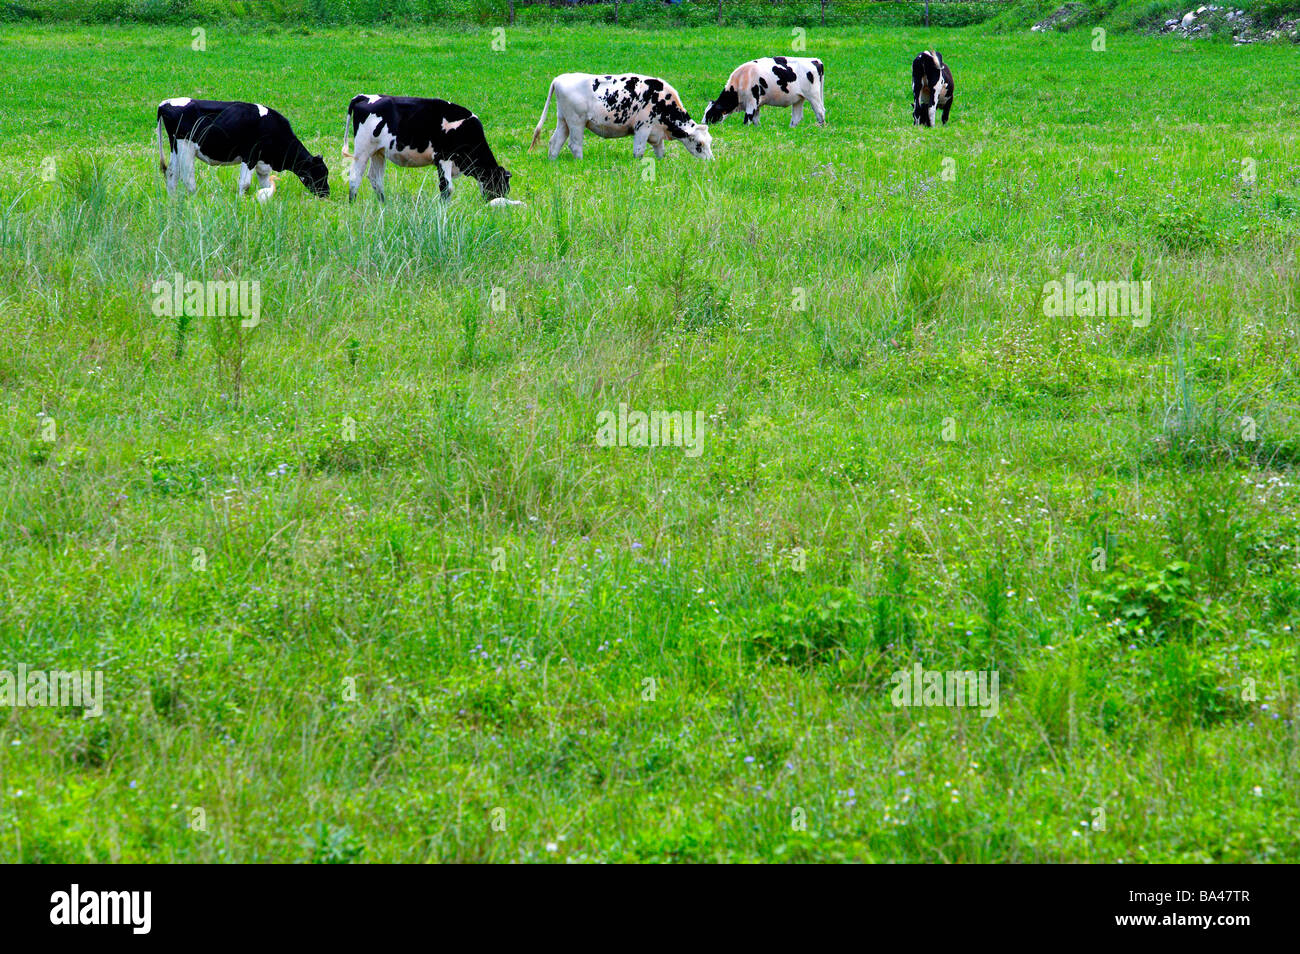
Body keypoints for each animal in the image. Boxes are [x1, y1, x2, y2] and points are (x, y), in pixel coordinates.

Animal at [156, 98, 329, 198]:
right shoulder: (250, 156)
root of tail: (165, 103)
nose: (326, 193)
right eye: (321, 173)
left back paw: (172, 200)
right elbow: (245, 184)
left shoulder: (263, 163)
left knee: (171, 174)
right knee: (188, 178)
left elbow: (266, 185)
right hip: (185, 146)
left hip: (175, 147)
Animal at [342, 95, 512, 203]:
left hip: (378, 152)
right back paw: (353, 204)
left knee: (375, 178)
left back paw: (383, 204)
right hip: (363, 150)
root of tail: (365, 96)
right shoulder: (443, 158)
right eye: (502, 187)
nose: (496, 204)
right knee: (355, 177)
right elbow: (446, 188)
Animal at [530, 73, 713, 161]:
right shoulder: (643, 128)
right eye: (699, 144)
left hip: (564, 121)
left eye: (709, 142)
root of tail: (560, 78)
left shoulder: (656, 133)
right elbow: (638, 151)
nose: (710, 161)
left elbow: (660, 152)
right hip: (576, 122)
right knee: (574, 145)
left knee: (555, 143)